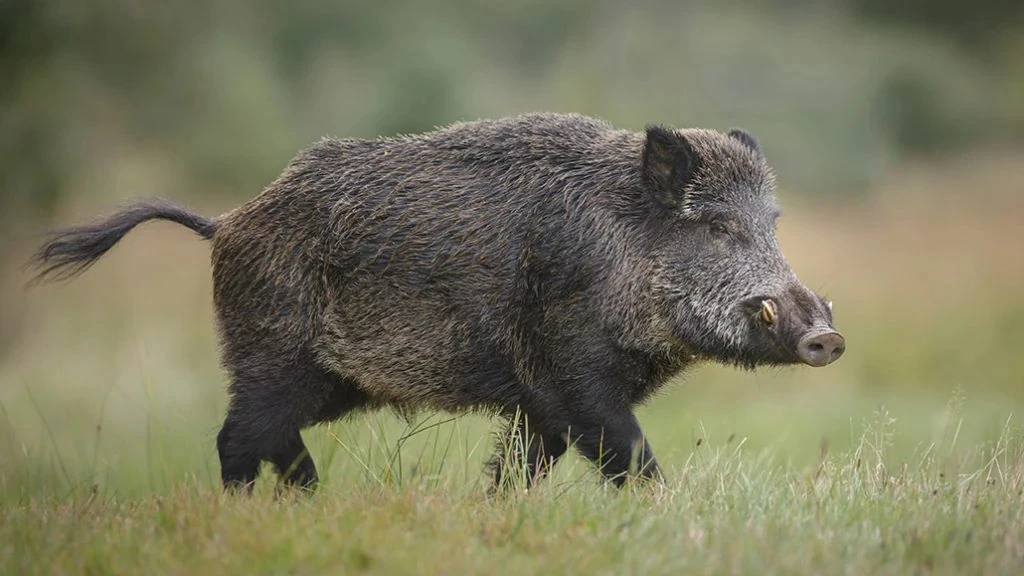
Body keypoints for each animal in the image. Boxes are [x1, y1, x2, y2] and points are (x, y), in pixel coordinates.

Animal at [29, 113, 844, 492]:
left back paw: (313, 501)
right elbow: (629, 456)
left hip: (326, 380)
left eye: (771, 224)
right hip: (270, 354)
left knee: (274, 440)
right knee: (238, 439)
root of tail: (226, 222)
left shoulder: (539, 403)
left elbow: (521, 468)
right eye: (715, 226)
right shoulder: (573, 375)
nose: (826, 338)